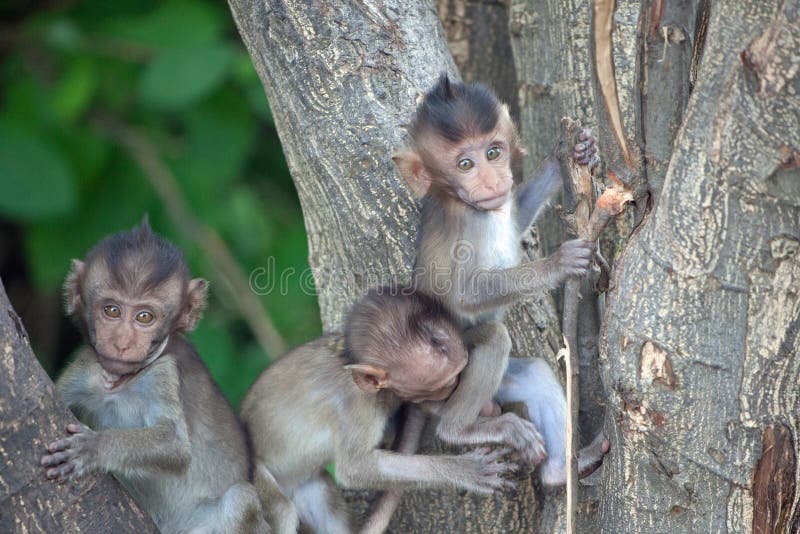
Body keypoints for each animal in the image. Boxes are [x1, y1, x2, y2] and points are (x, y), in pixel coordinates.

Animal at [40, 218, 272, 534]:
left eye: (145, 317)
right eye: (111, 310)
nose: (122, 342)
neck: (120, 381)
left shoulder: (164, 372)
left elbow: (174, 445)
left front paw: (94, 448)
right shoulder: (85, 368)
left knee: (241, 499)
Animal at [240, 287, 516, 534]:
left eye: (458, 374)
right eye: (442, 384)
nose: (455, 387)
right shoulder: (356, 405)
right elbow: (355, 468)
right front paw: (466, 470)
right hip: (255, 478)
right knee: (282, 510)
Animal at [392, 74, 609, 480]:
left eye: (493, 153)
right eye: (465, 163)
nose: (493, 180)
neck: (467, 204)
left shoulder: (502, 206)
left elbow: (518, 214)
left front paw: (571, 151)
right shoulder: (462, 225)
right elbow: (463, 294)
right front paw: (557, 264)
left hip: (499, 385)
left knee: (534, 373)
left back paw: (562, 470)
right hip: (447, 373)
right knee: (494, 336)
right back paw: (460, 430)